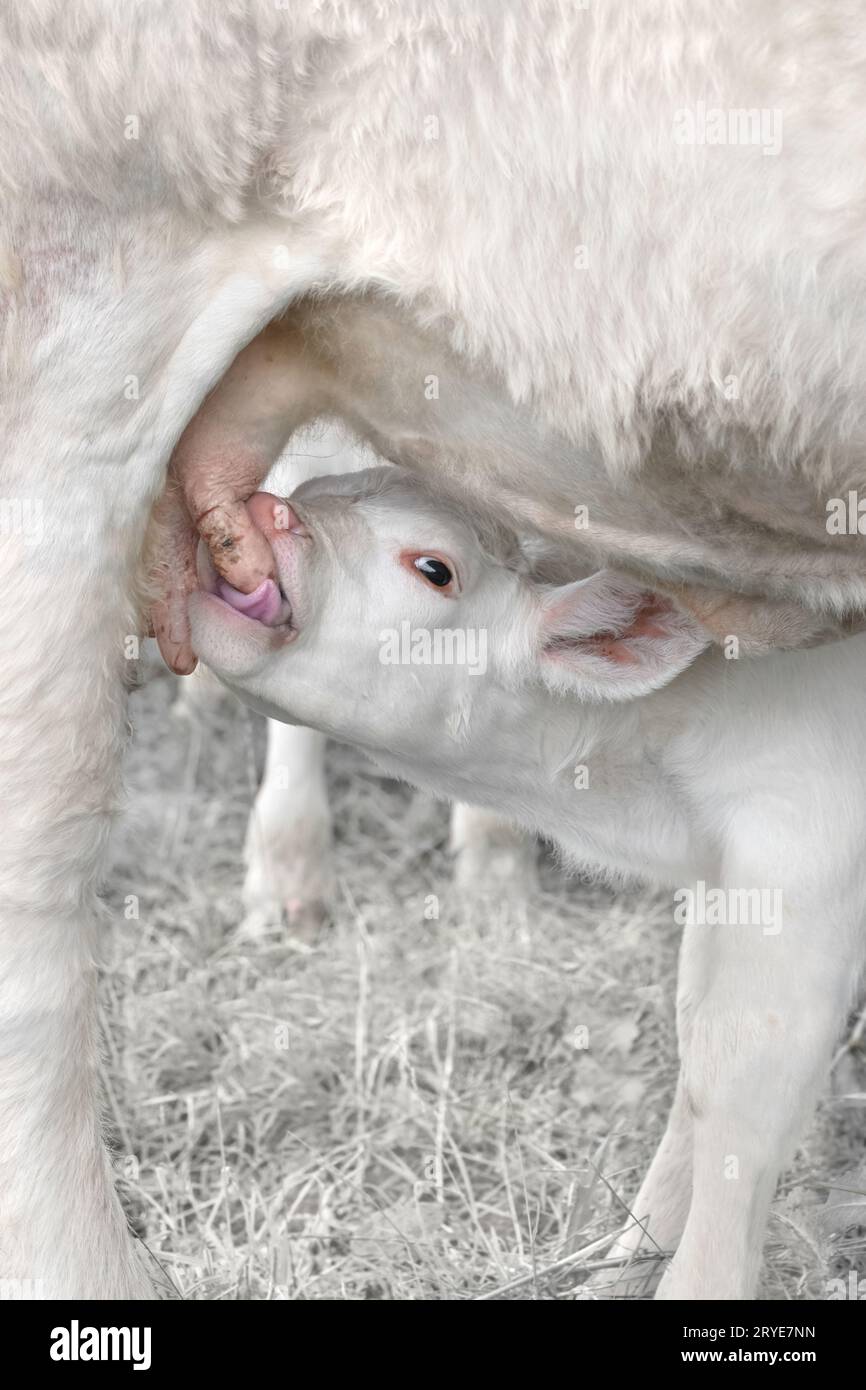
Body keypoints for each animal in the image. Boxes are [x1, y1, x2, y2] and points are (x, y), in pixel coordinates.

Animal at [2, 2, 866, 1298]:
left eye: (434, 568)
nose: (273, 524)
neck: (640, 771)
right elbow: (728, 1065)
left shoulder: (792, 831)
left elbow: (730, 1073)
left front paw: (647, 1251)